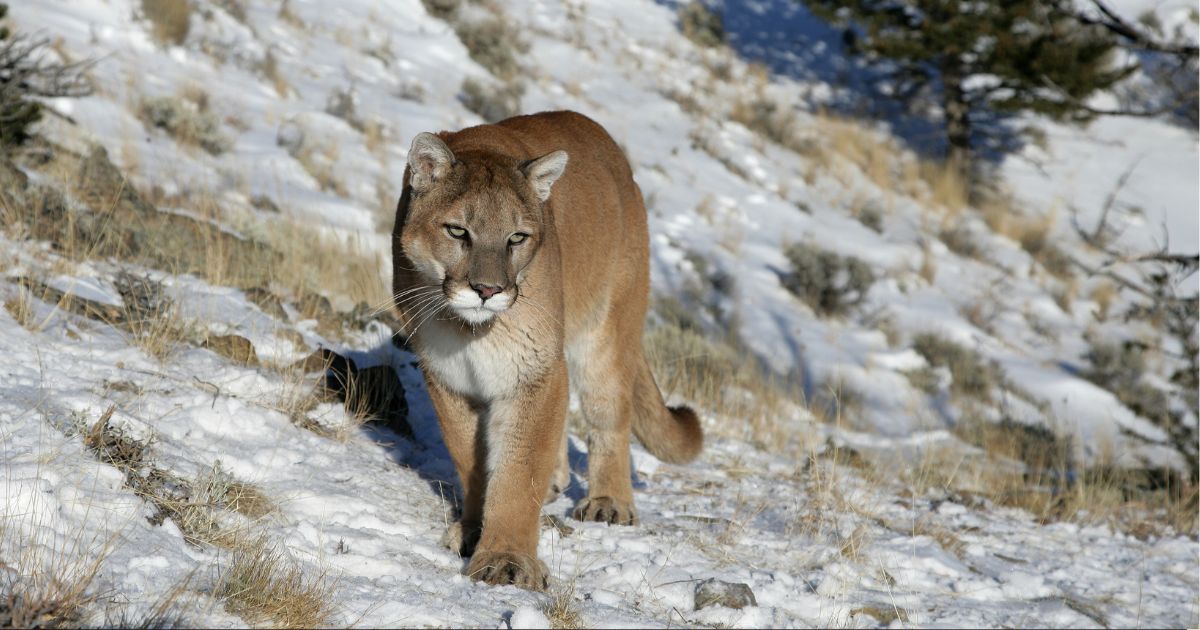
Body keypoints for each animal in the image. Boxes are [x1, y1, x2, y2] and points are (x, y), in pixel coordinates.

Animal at [392, 110, 703, 590]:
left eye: (517, 238)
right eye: (458, 231)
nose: (487, 290)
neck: (468, 330)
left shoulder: (534, 370)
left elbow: (519, 469)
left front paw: (506, 559)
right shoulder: (448, 376)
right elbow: (471, 458)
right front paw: (473, 529)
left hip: (605, 333)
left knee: (608, 414)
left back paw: (609, 503)